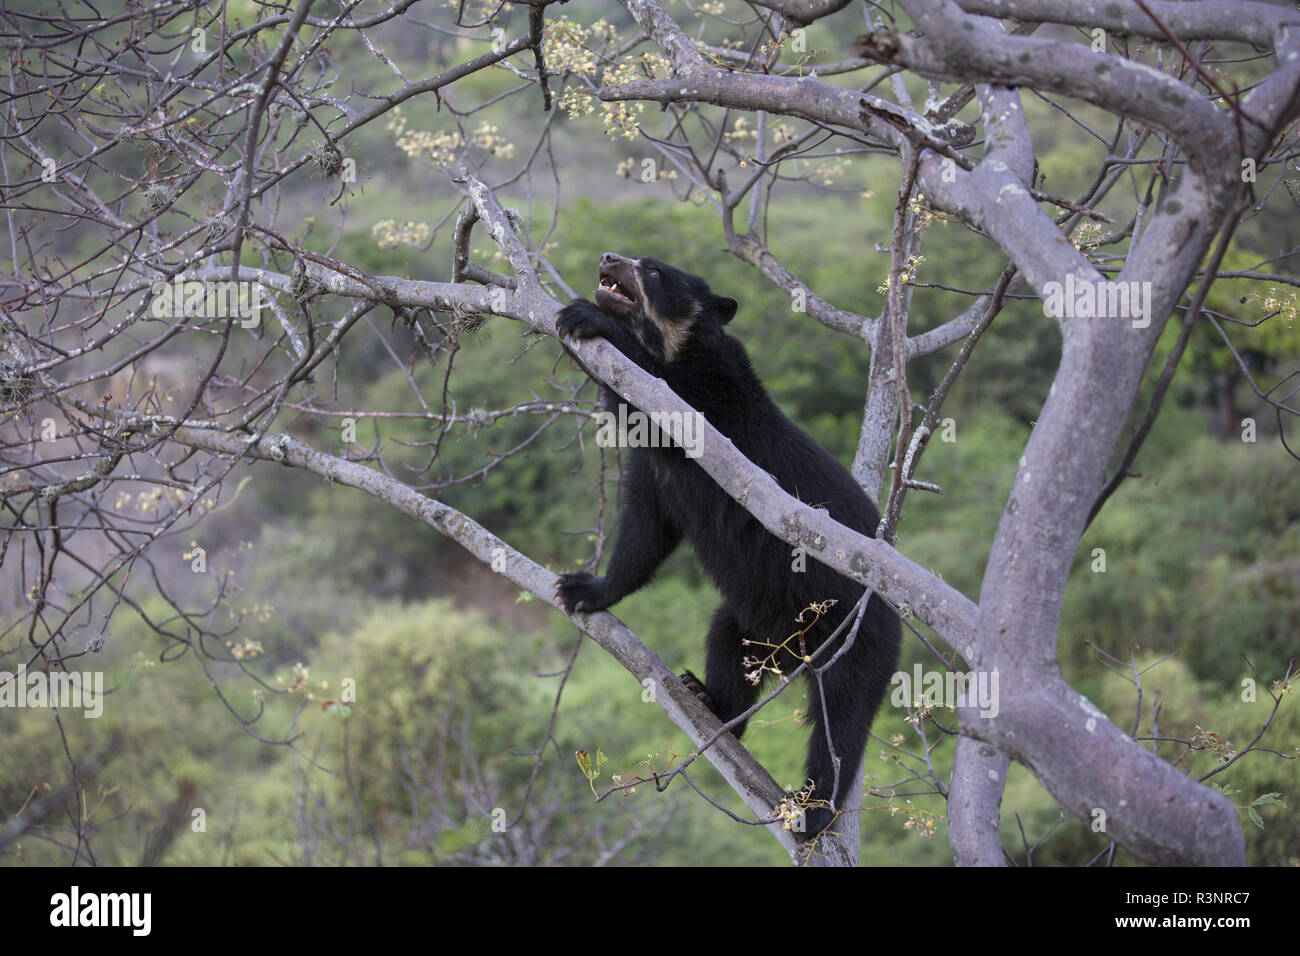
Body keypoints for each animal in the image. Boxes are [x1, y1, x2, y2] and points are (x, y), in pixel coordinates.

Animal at [554, 252, 901, 839]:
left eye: (653, 272)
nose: (608, 259)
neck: (683, 348)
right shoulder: (656, 473)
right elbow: (645, 534)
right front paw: (582, 589)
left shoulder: (711, 407)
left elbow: (671, 395)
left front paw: (584, 318)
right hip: (753, 619)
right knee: (727, 646)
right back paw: (709, 702)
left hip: (856, 643)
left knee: (842, 725)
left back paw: (811, 812)